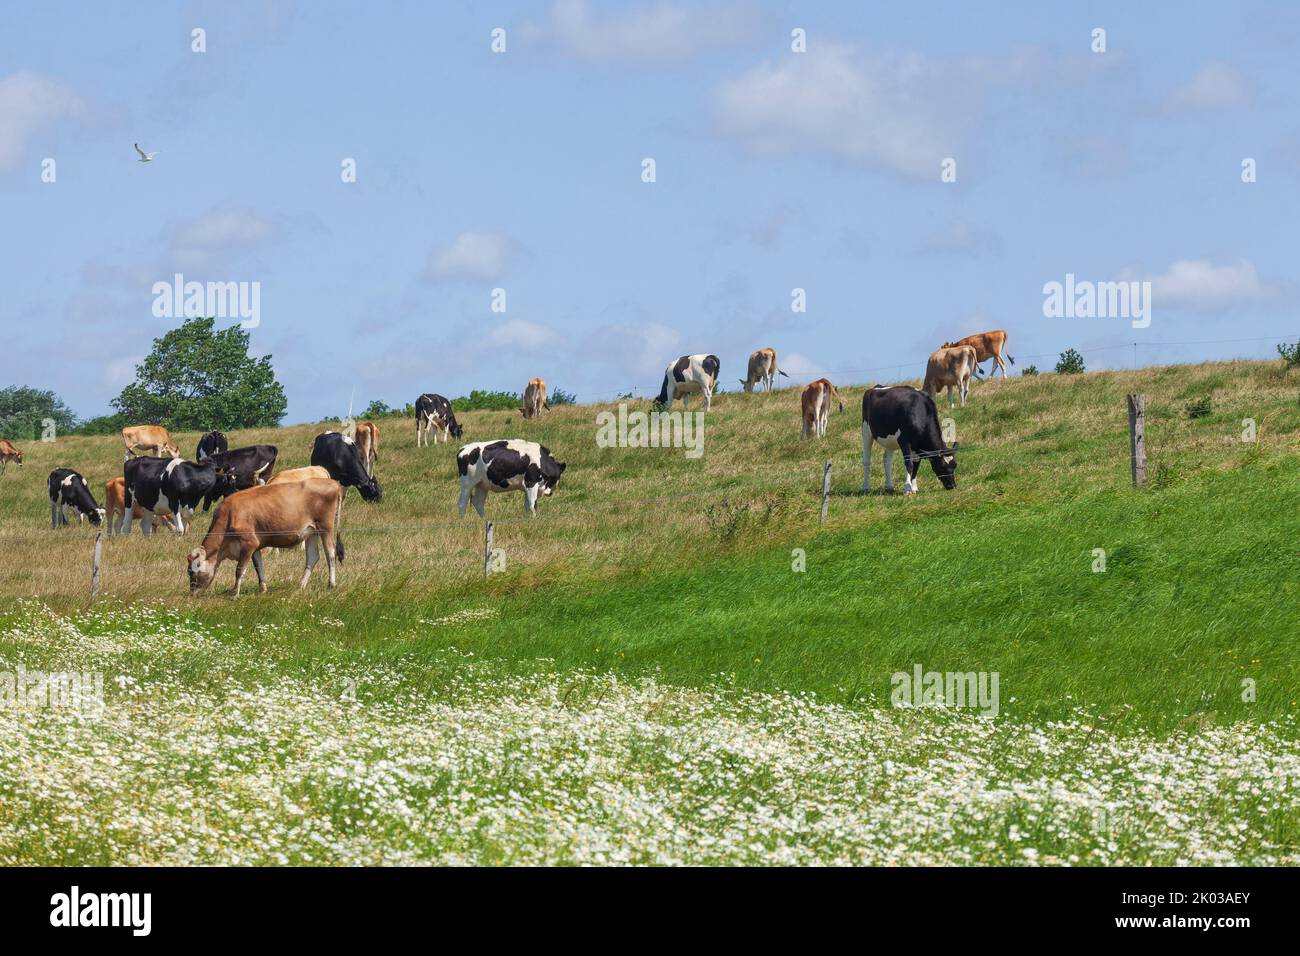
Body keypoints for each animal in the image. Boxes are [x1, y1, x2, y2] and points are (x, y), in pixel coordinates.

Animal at [187, 478, 345, 598]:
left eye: (192, 572)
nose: (192, 593)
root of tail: (334, 483)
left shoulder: (249, 543)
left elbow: (239, 569)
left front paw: (234, 594)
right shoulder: (255, 545)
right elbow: (258, 566)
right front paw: (263, 589)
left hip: (325, 527)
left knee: (330, 553)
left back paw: (331, 584)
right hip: (311, 532)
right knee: (313, 557)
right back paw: (301, 585)